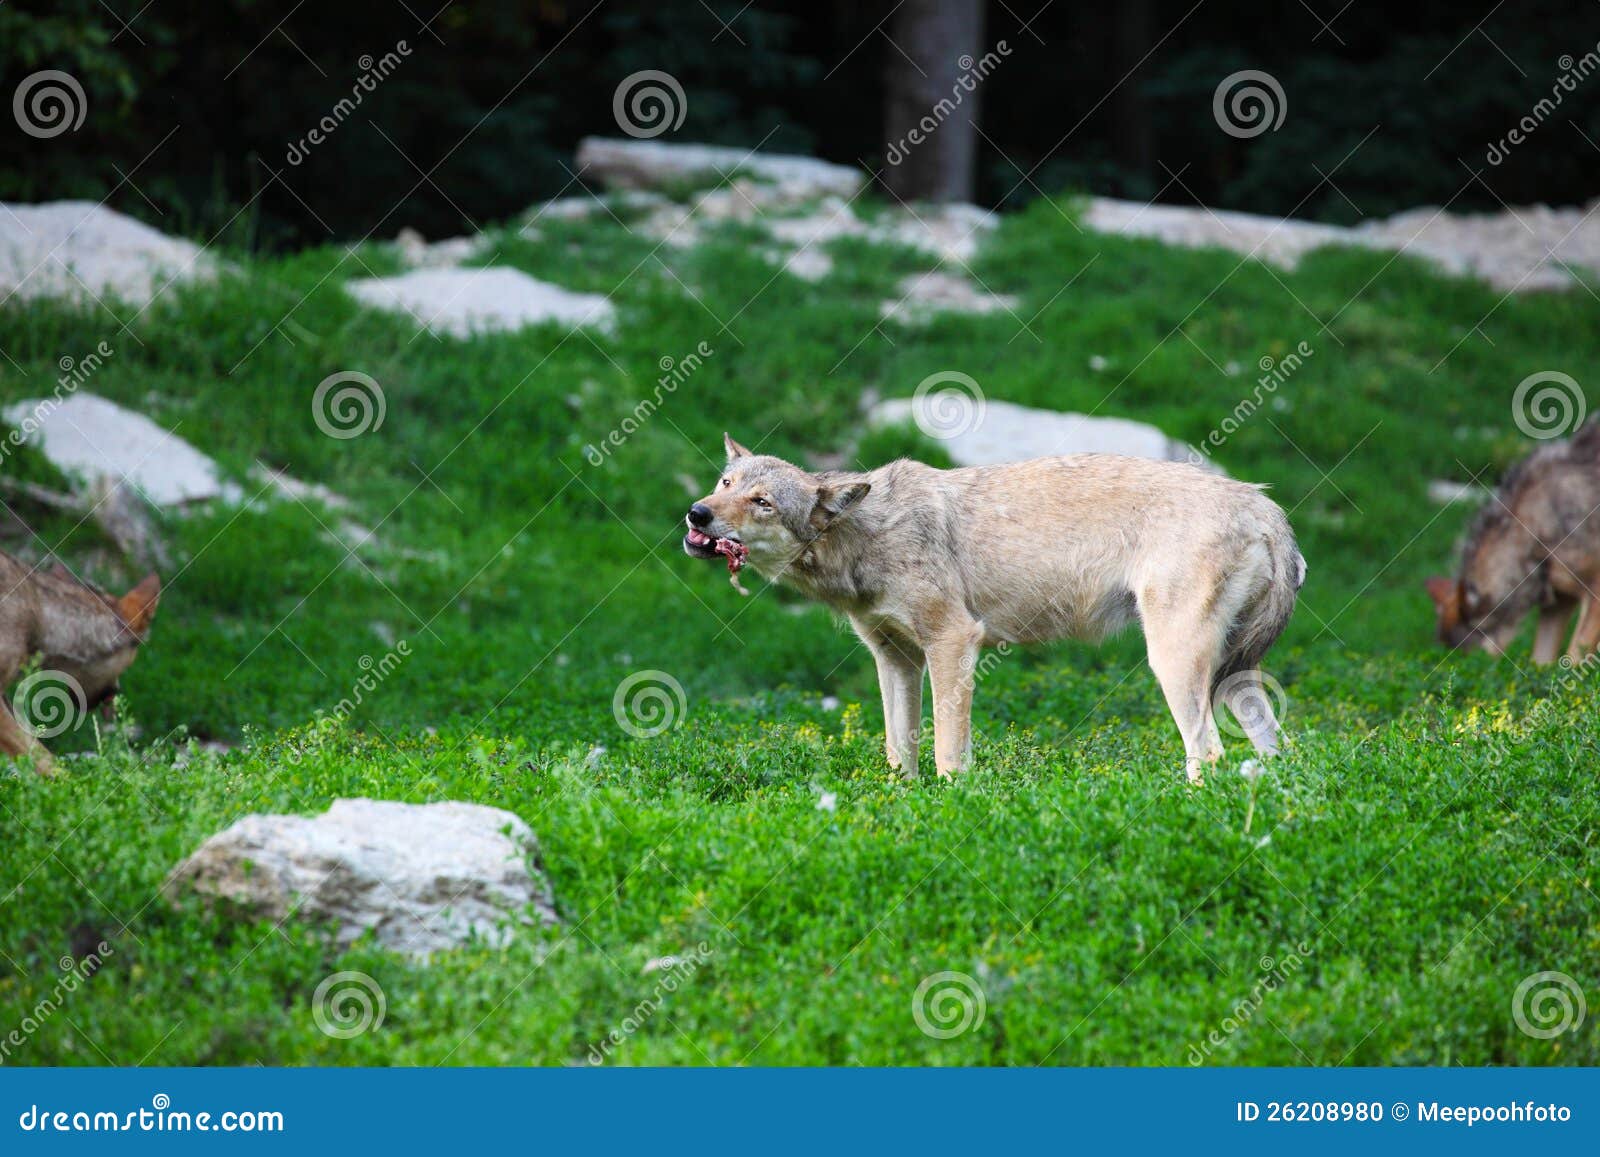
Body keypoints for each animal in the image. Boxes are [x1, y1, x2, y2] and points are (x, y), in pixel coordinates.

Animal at [684, 436, 1305, 781]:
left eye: (762, 502)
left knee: (1210, 753)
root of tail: (1265, 505)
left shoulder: (954, 642)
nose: (696, 514)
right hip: (1234, 678)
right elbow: (898, 753)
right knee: (1276, 750)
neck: (868, 534)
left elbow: (947, 756)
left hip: (1173, 664)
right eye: (724, 482)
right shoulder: (895, 660)